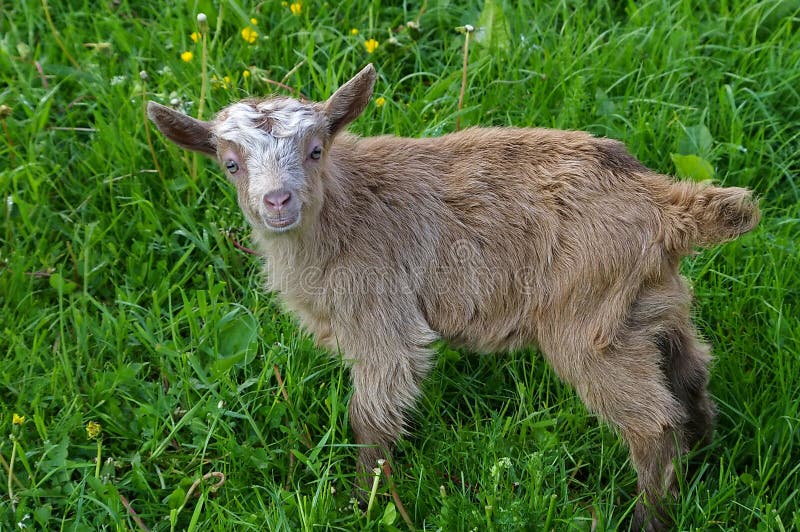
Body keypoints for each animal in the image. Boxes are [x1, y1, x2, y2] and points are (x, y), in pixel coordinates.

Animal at [147, 63, 760, 530]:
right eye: (231, 163)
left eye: (316, 150)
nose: (277, 201)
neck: (343, 212)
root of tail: (661, 202)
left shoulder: (381, 314)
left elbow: (370, 417)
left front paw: (362, 503)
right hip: (648, 299)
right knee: (690, 369)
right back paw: (703, 453)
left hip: (585, 324)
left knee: (652, 423)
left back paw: (648, 518)